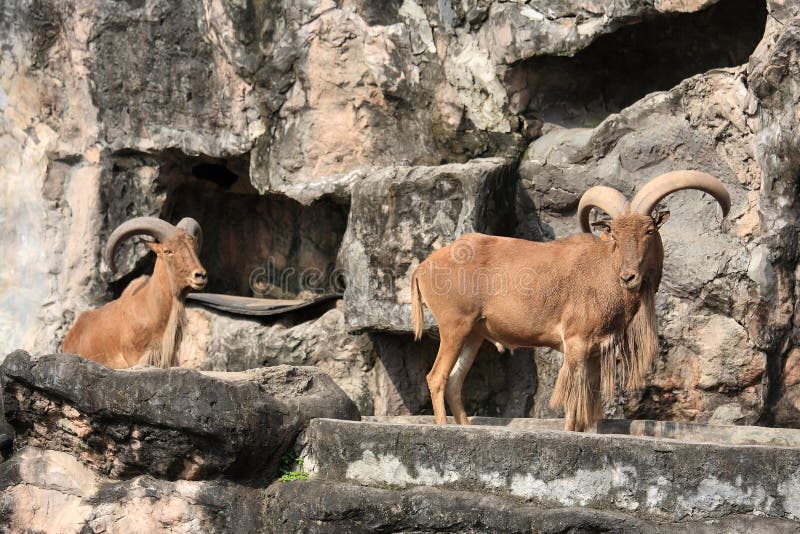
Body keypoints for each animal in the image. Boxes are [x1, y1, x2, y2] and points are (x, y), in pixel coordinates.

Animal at [411, 171, 730, 431]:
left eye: (649, 230)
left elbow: (587, 406)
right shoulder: (576, 344)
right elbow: (573, 407)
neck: (604, 270)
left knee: (454, 382)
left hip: (473, 334)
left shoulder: (596, 353)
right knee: (436, 378)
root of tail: (423, 267)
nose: (628, 277)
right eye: (614, 233)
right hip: (454, 326)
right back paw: (444, 428)